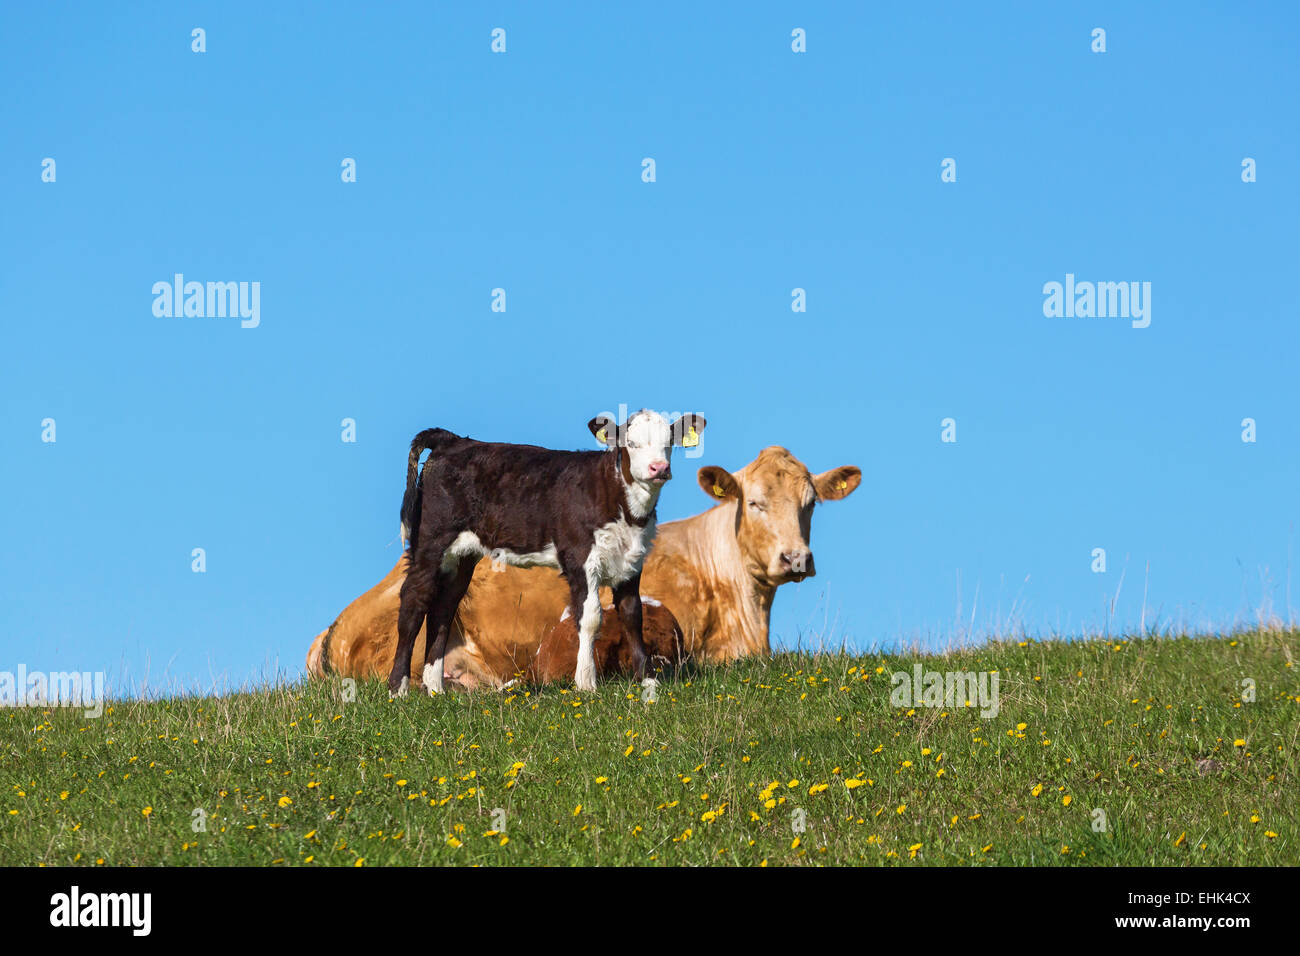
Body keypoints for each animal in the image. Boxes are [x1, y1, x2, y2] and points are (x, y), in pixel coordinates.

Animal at [388, 409, 706, 697]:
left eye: (669, 442)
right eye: (631, 443)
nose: (658, 468)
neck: (625, 508)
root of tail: (453, 440)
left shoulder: (632, 560)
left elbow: (632, 614)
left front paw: (648, 680)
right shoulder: (579, 557)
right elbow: (590, 617)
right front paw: (586, 682)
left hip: (462, 557)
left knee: (443, 609)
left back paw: (435, 688)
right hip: (431, 541)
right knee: (414, 602)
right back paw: (398, 688)